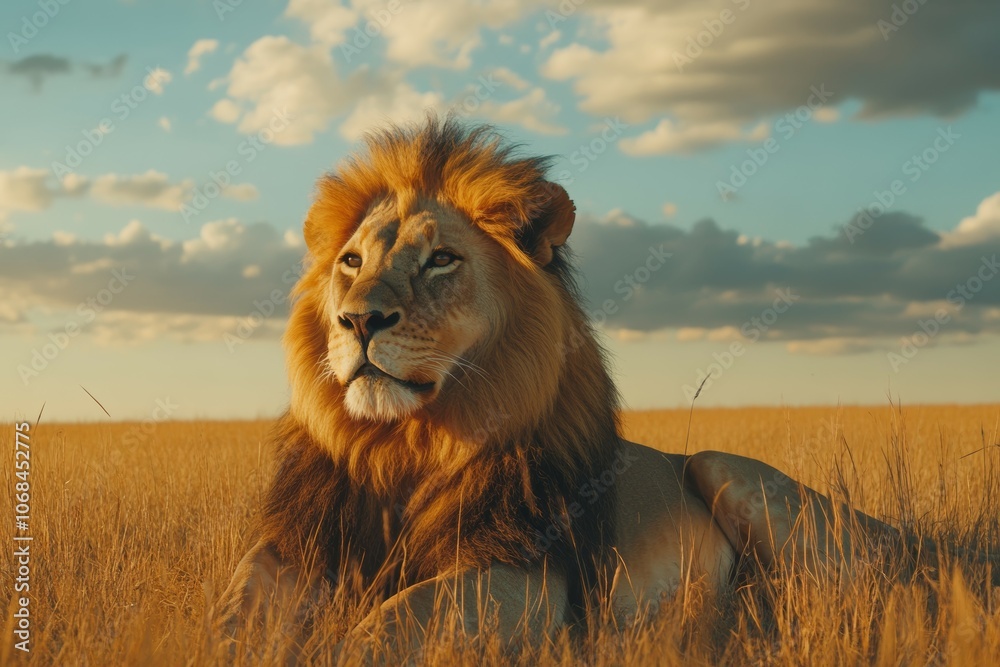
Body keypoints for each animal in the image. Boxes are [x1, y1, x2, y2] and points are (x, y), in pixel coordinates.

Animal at [220, 116, 983, 658]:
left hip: (727, 472)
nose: (357, 320)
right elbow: (230, 610)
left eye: (441, 260)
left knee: (877, 592)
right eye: (351, 262)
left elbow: (387, 623)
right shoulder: (297, 545)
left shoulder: (524, 575)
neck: (407, 446)